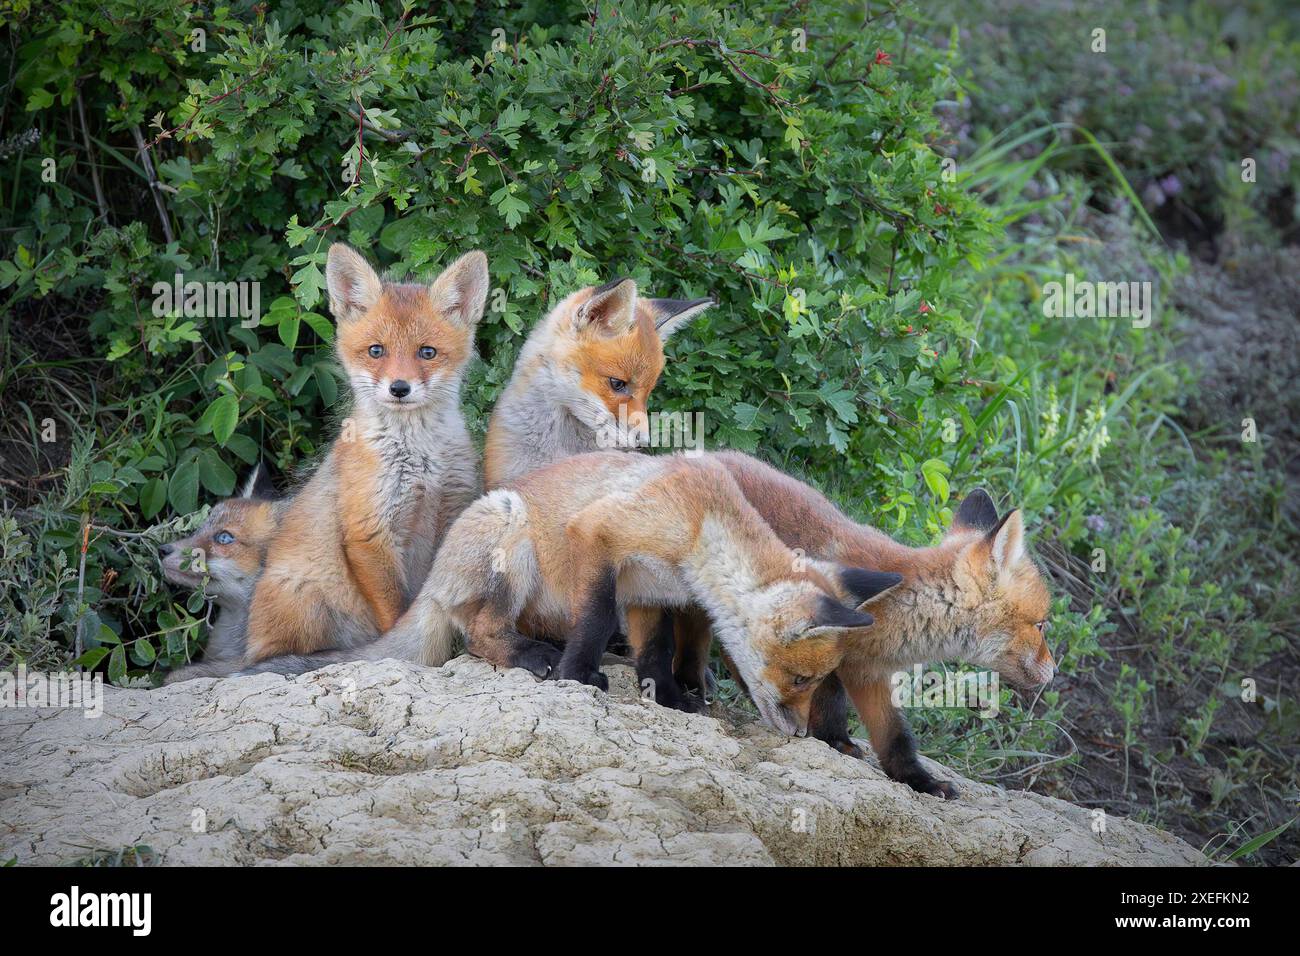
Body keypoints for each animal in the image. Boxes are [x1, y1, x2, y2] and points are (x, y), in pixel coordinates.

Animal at [186, 244, 489, 677]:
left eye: (427, 353)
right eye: (376, 350)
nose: (399, 388)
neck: (419, 458)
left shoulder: (451, 508)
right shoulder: (369, 529)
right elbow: (395, 615)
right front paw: (394, 652)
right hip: (310, 598)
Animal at [238, 451, 901, 736]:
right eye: (800, 679)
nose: (800, 733)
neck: (699, 524)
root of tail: (430, 585)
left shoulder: (649, 595)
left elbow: (656, 651)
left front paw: (669, 699)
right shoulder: (599, 538)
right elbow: (595, 619)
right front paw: (578, 676)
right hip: (511, 534)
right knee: (479, 636)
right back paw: (531, 658)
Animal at [666, 450, 1055, 798]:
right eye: (1040, 625)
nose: (1053, 672)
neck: (898, 612)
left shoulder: (871, 672)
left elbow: (895, 736)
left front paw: (920, 781)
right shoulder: (828, 649)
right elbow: (829, 700)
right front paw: (833, 740)